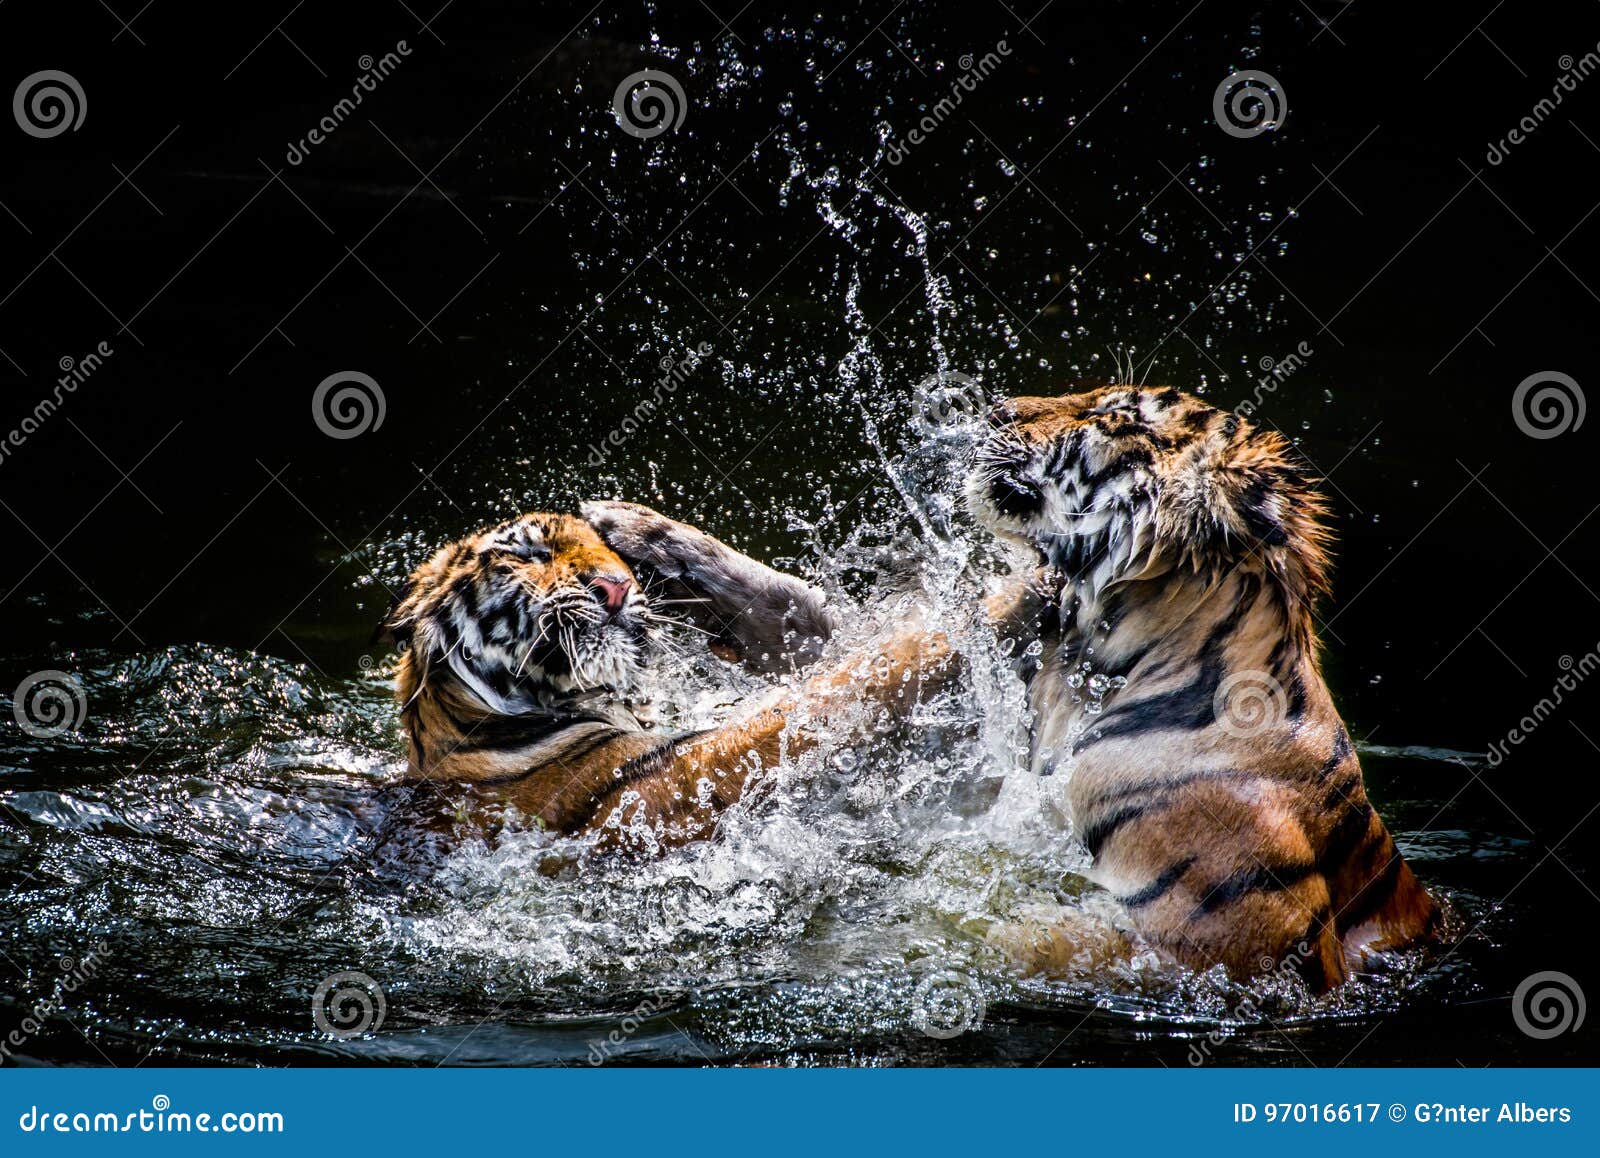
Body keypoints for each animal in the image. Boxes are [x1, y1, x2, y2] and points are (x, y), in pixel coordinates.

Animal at [376, 503, 952, 850]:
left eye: (610, 554)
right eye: (530, 554)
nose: (616, 586)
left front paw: (640, 528)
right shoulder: (653, 787)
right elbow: (809, 704)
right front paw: (940, 634)